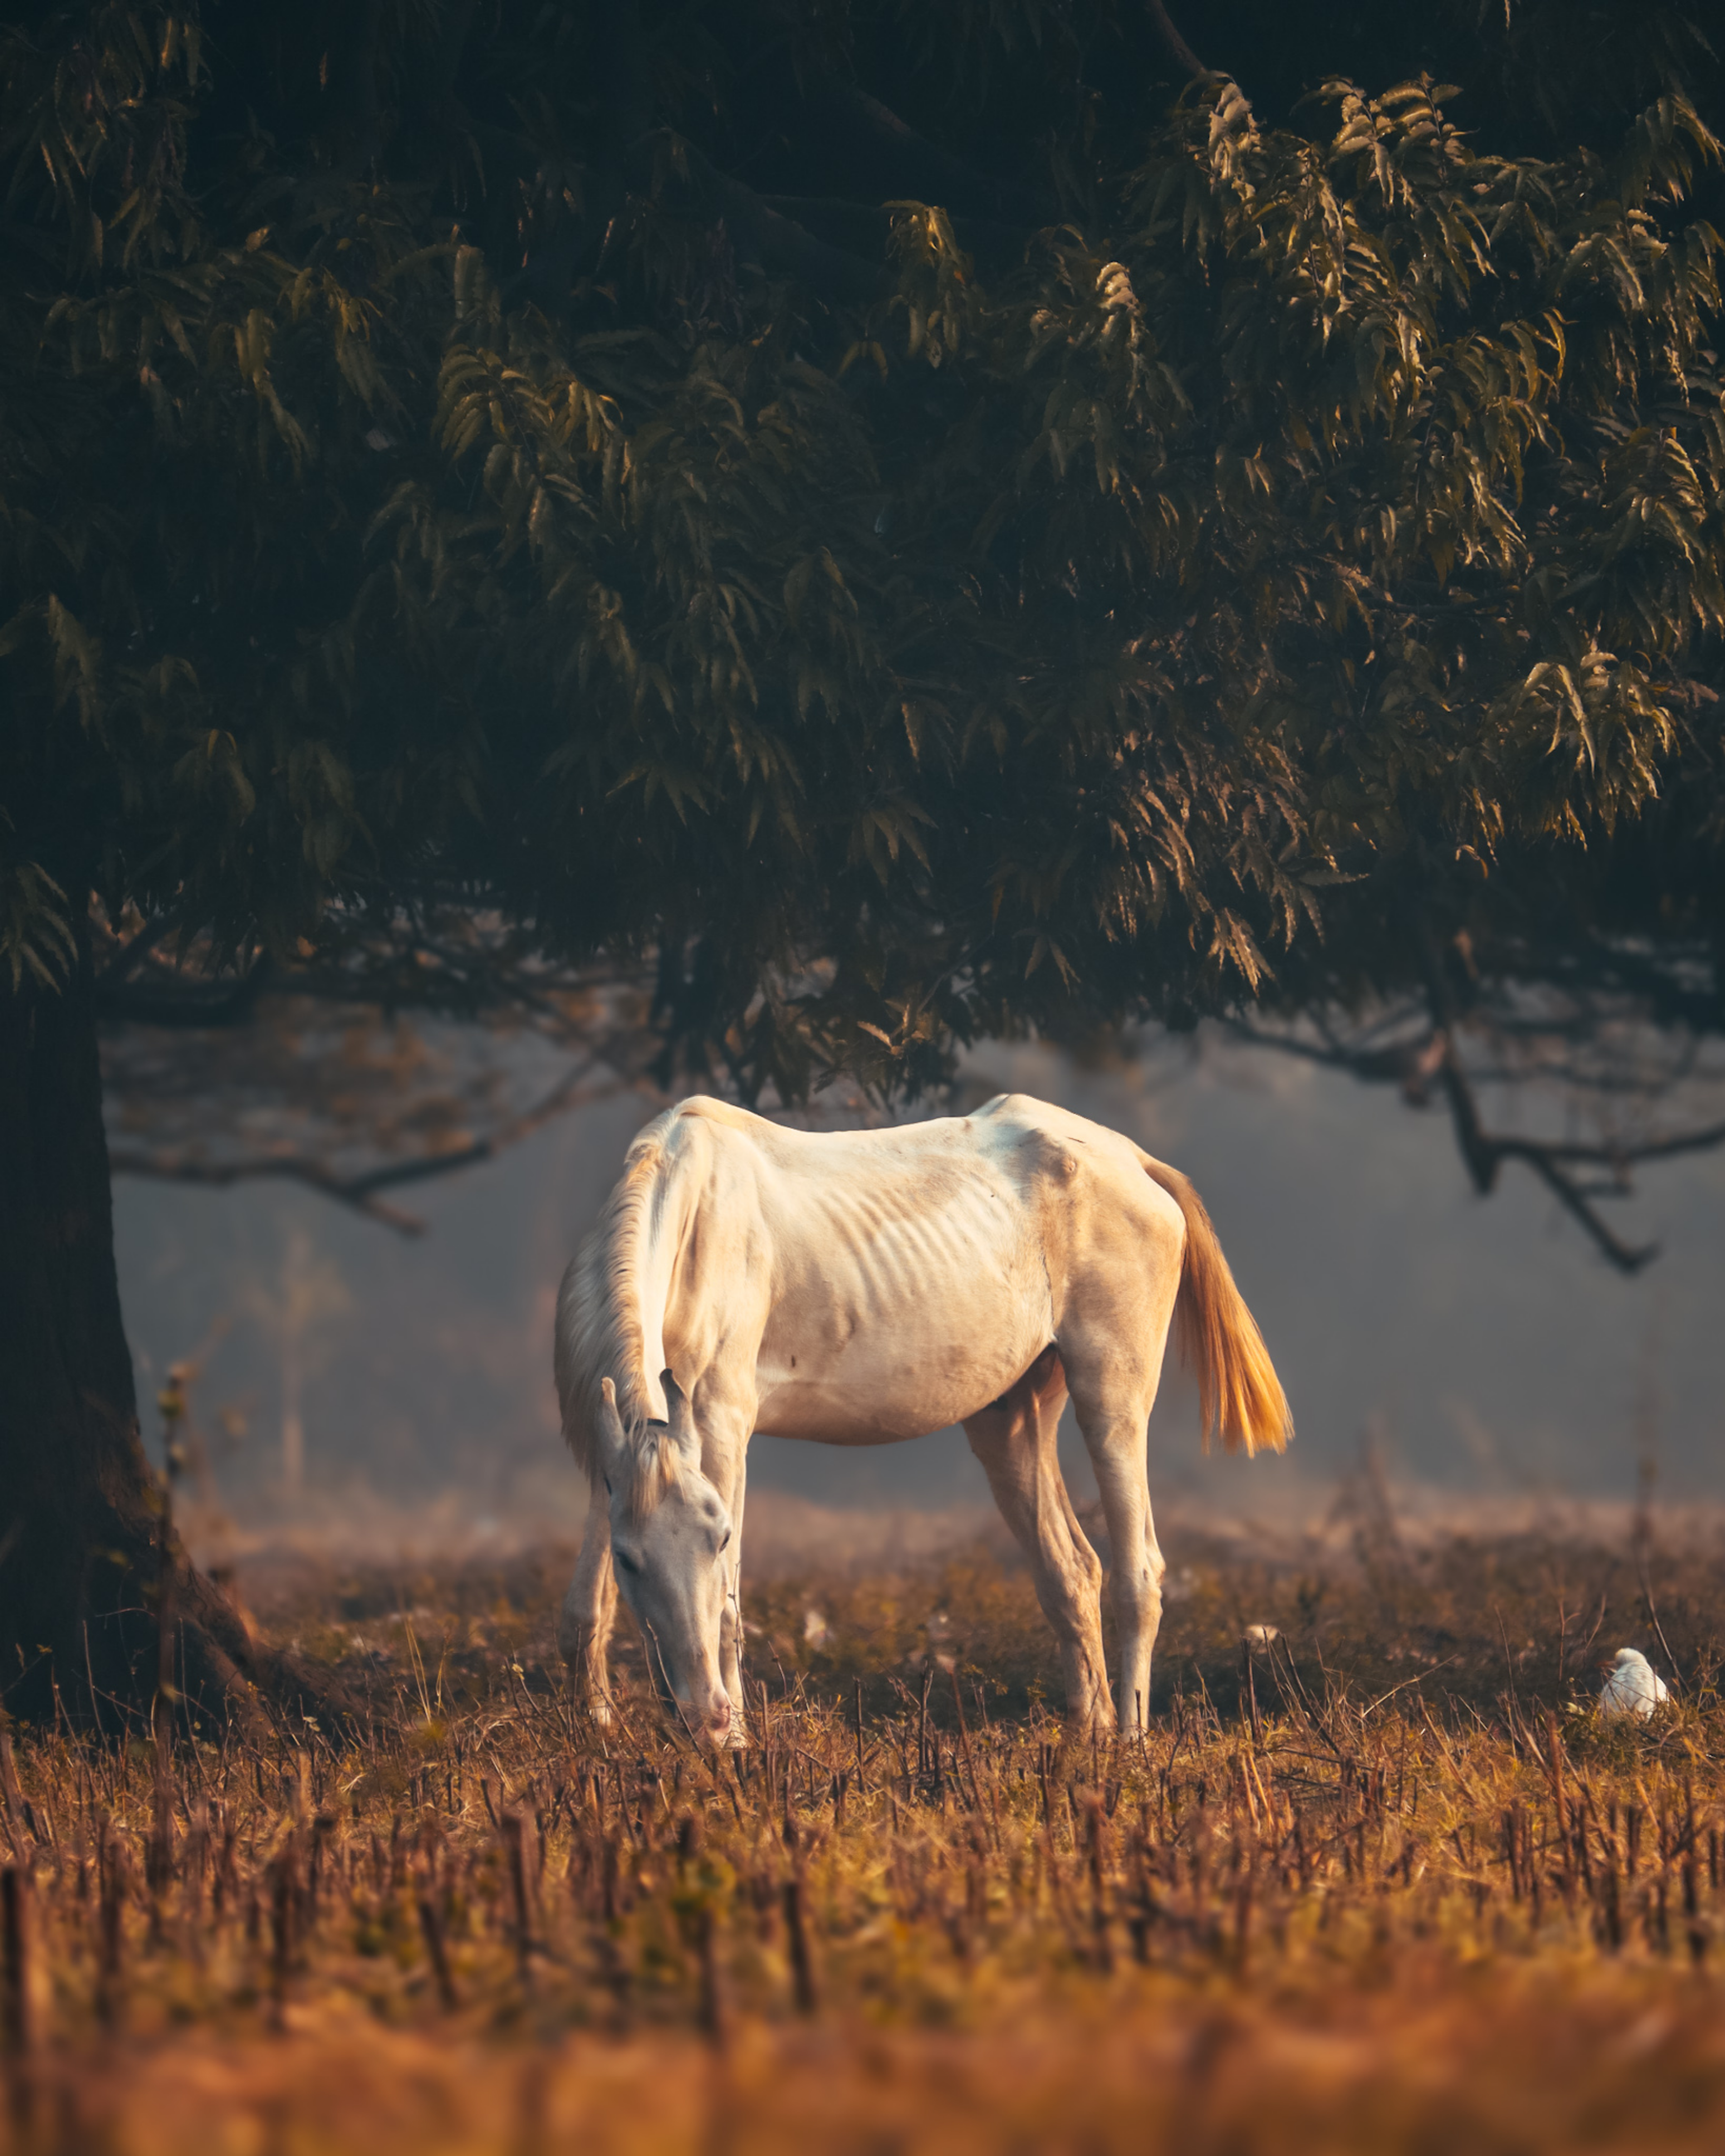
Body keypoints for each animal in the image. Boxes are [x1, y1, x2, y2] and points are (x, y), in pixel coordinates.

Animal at [553, 1091, 1291, 1745]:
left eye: (719, 1539)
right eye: (630, 1559)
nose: (703, 1720)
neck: (689, 1221)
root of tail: (1136, 1161)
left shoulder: (720, 1423)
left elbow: (730, 1610)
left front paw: (738, 1743)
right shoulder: (615, 1452)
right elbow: (585, 1605)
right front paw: (595, 1729)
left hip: (1112, 1394)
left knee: (1138, 1575)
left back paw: (1132, 1747)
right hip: (1010, 1420)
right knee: (1073, 1572)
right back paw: (1091, 1737)